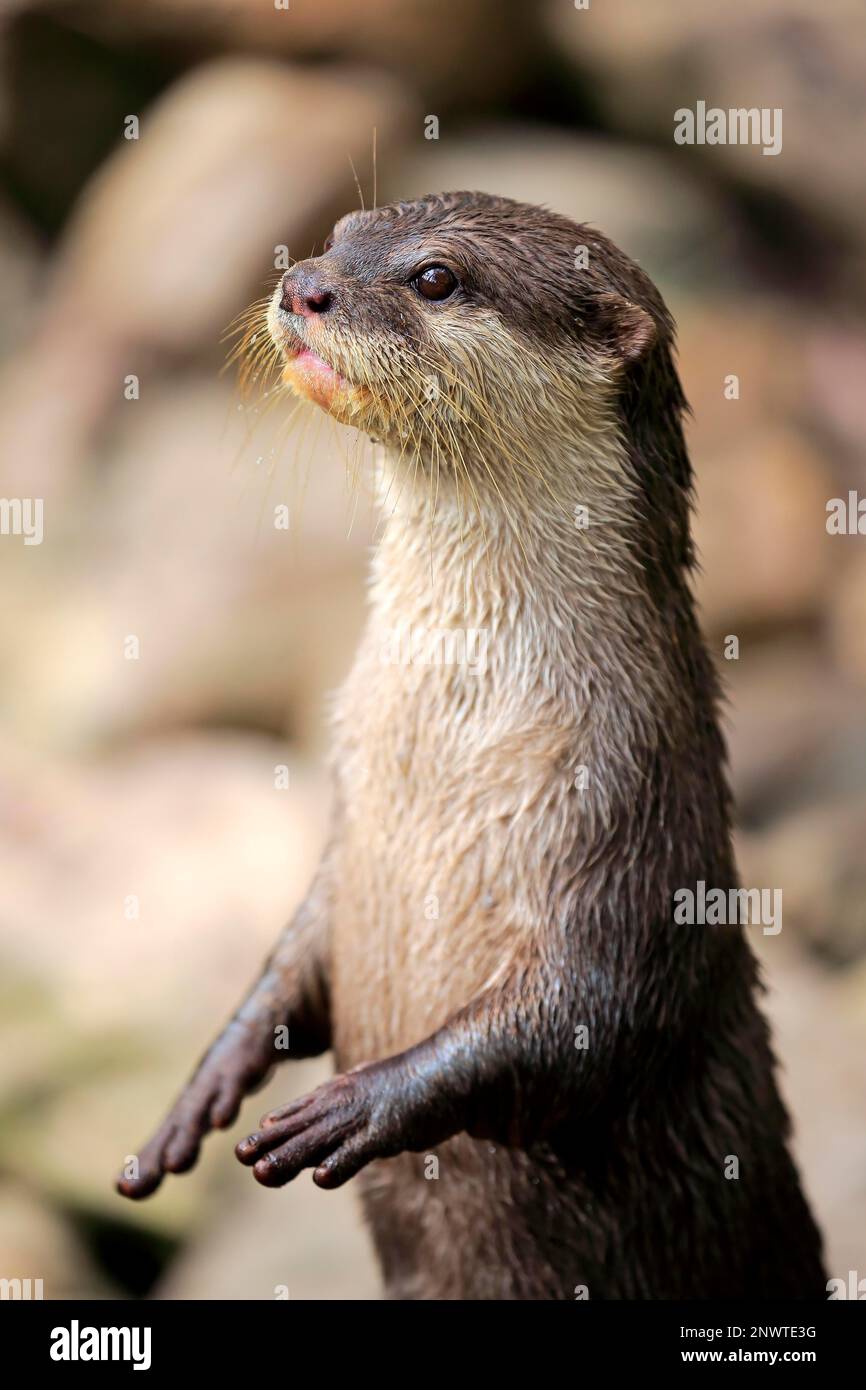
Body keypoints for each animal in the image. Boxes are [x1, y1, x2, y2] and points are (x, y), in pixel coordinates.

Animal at [117, 191, 826, 1301]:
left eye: (436, 277)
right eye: (340, 232)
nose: (303, 283)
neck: (445, 730)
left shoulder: (634, 798)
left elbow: (587, 1017)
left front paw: (357, 1104)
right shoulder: (348, 825)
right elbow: (297, 950)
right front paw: (209, 1080)